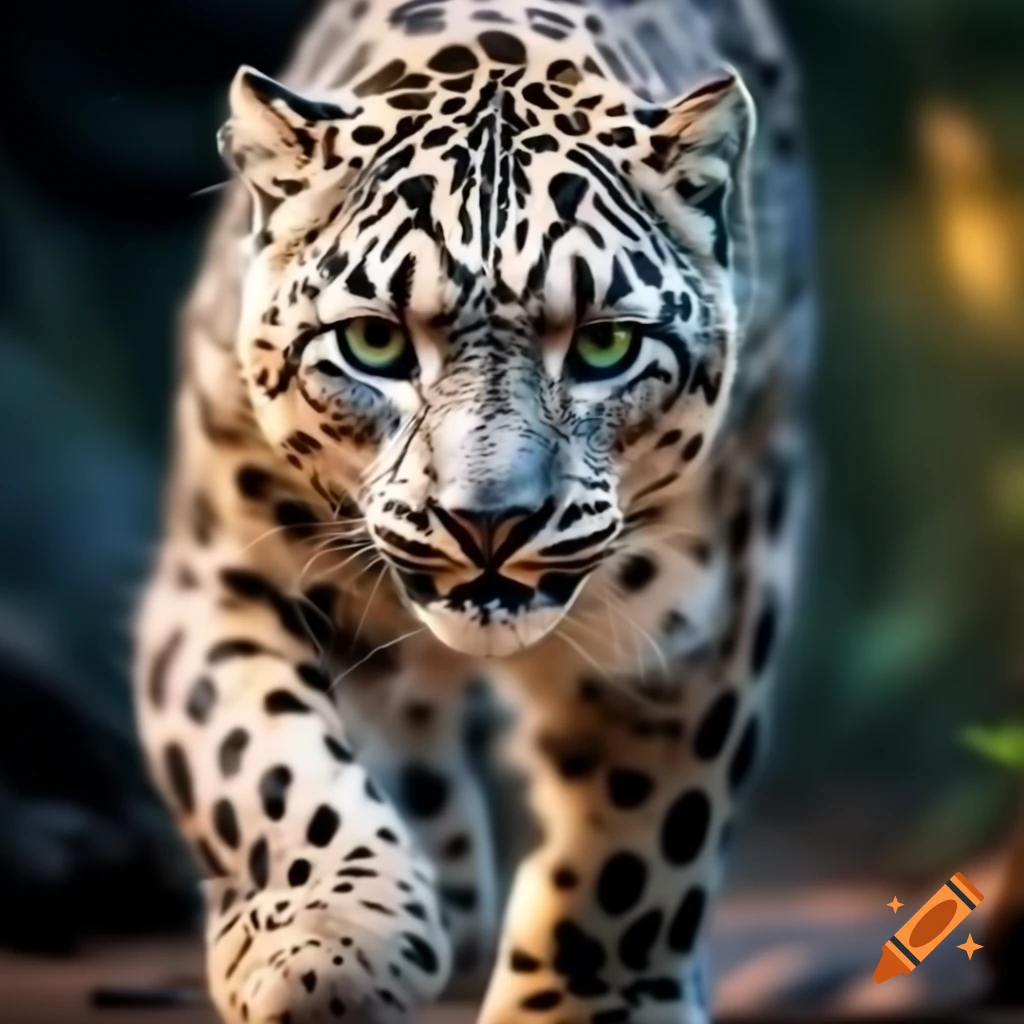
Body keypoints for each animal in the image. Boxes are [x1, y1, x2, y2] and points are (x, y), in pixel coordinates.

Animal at [133, 0, 817, 1021]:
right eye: (373, 342)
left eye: (605, 346)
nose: (488, 519)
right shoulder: (222, 566)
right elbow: (262, 755)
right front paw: (330, 943)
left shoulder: (702, 606)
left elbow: (641, 837)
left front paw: (590, 1002)